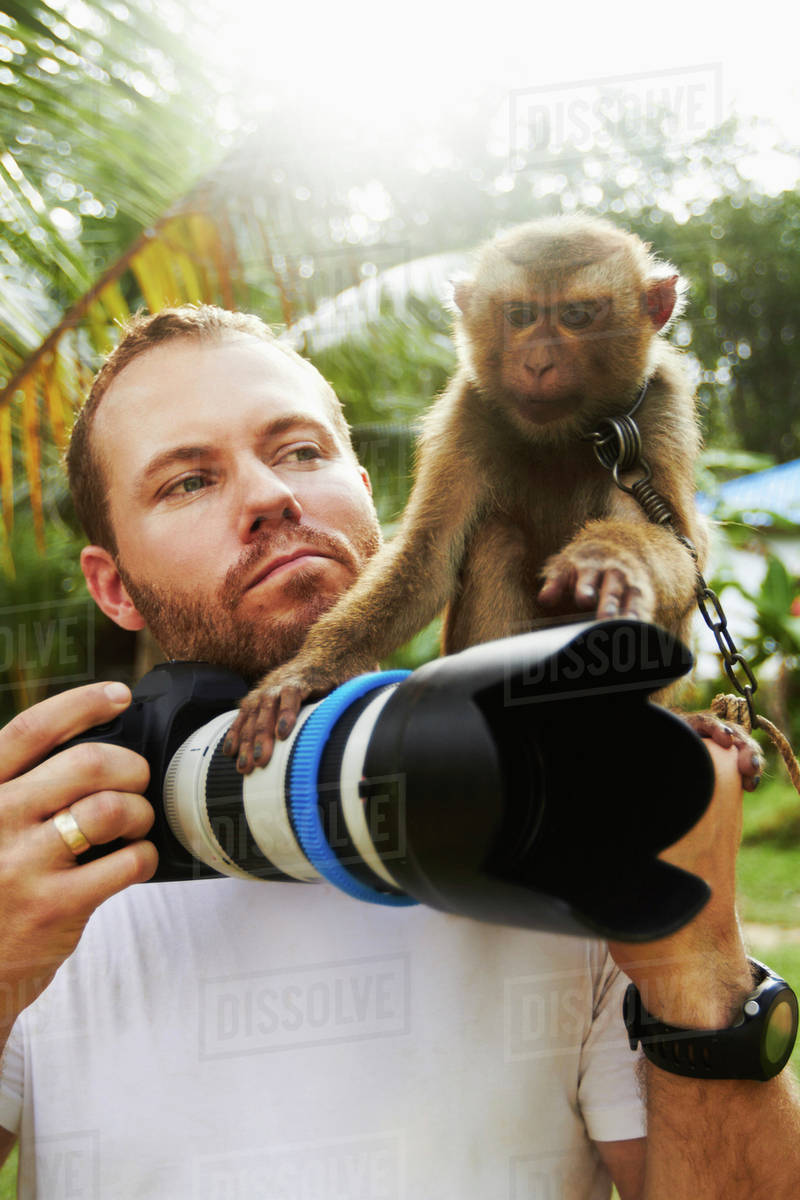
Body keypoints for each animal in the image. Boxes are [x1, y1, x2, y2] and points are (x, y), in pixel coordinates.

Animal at [227, 214, 763, 785]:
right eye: (520, 316)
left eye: (575, 316)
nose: (539, 362)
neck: (567, 434)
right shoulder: (469, 411)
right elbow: (428, 560)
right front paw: (309, 671)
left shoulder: (657, 406)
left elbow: (684, 550)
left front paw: (610, 559)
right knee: (495, 539)